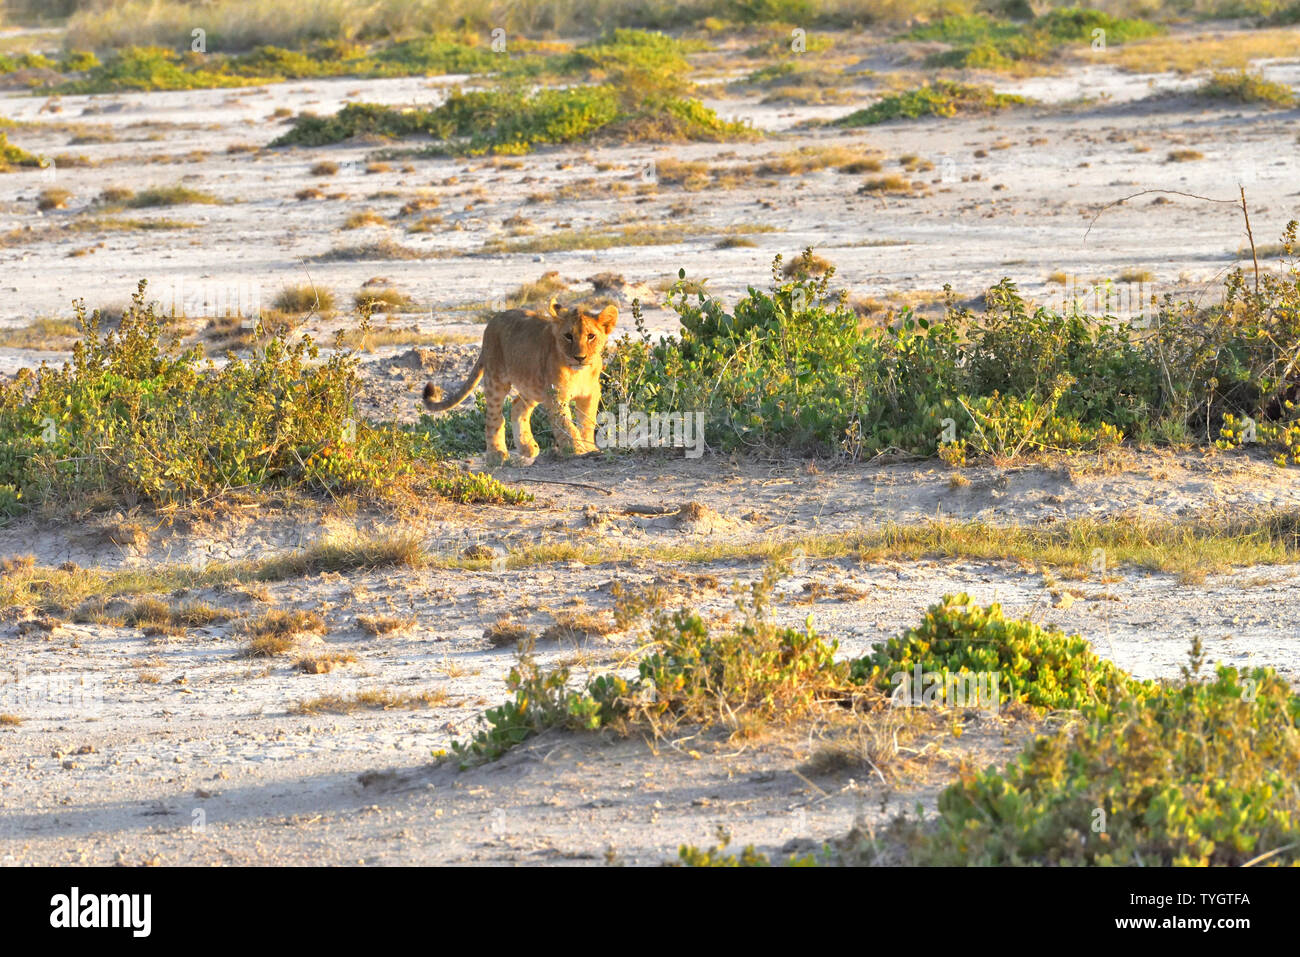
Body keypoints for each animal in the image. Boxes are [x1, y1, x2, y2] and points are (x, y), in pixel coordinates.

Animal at [421, 298, 618, 466]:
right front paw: (577, 450)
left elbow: (587, 422)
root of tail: (494, 320)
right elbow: (566, 425)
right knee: (494, 417)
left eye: (591, 336)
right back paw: (496, 454)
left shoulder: (590, 394)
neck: (578, 372)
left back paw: (527, 447)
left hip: (532, 385)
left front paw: (589, 447)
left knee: (517, 407)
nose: (579, 357)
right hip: (496, 379)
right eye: (568, 336)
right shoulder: (555, 395)